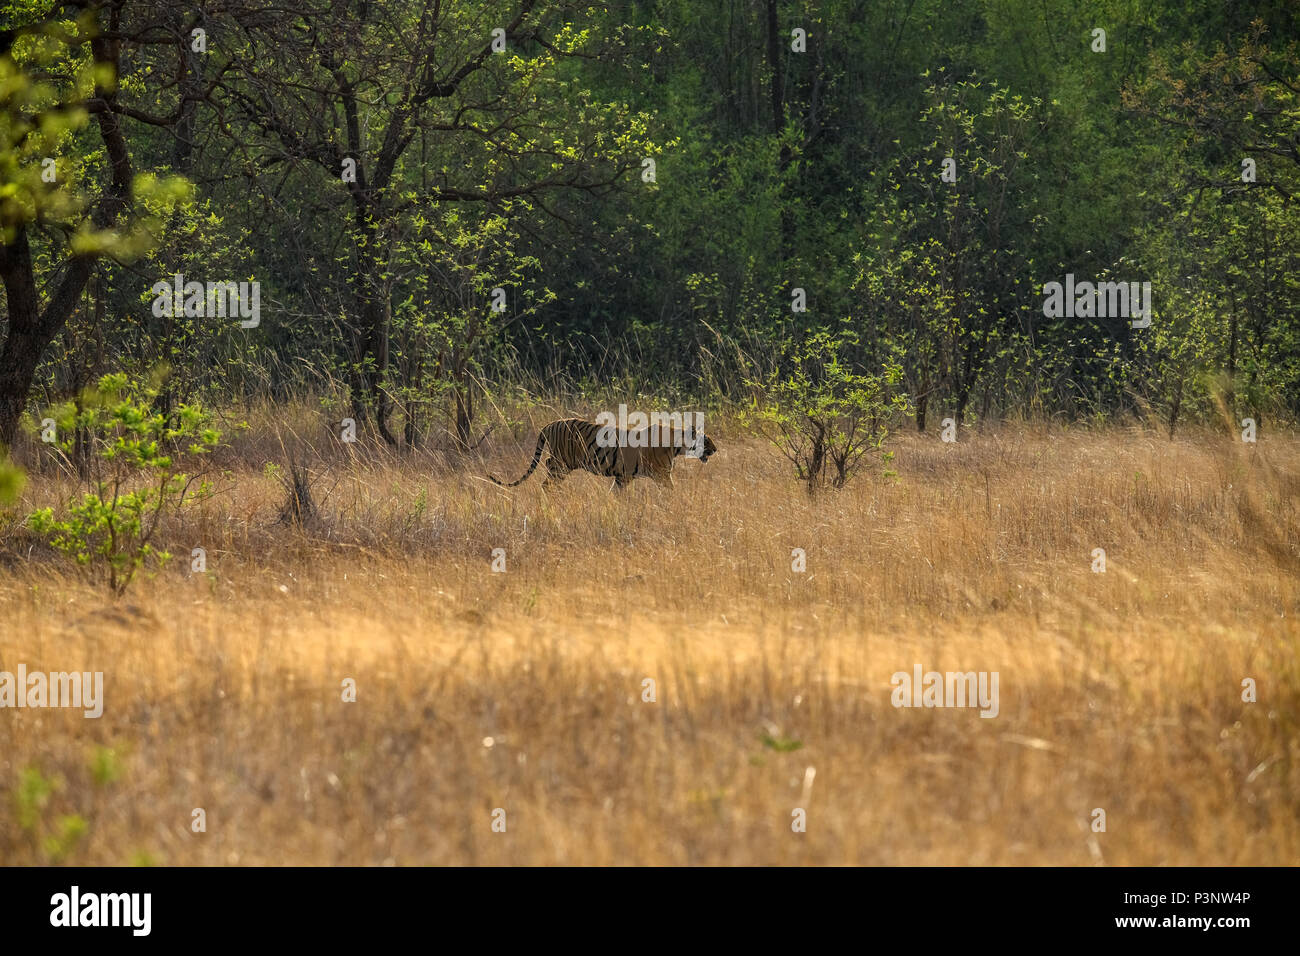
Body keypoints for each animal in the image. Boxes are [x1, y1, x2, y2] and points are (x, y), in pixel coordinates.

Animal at [488, 417, 716, 490]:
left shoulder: (623, 477)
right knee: (547, 479)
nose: (716, 449)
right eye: (706, 439)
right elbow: (672, 492)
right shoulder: (662, 475)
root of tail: (550, 424)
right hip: (562, 462)